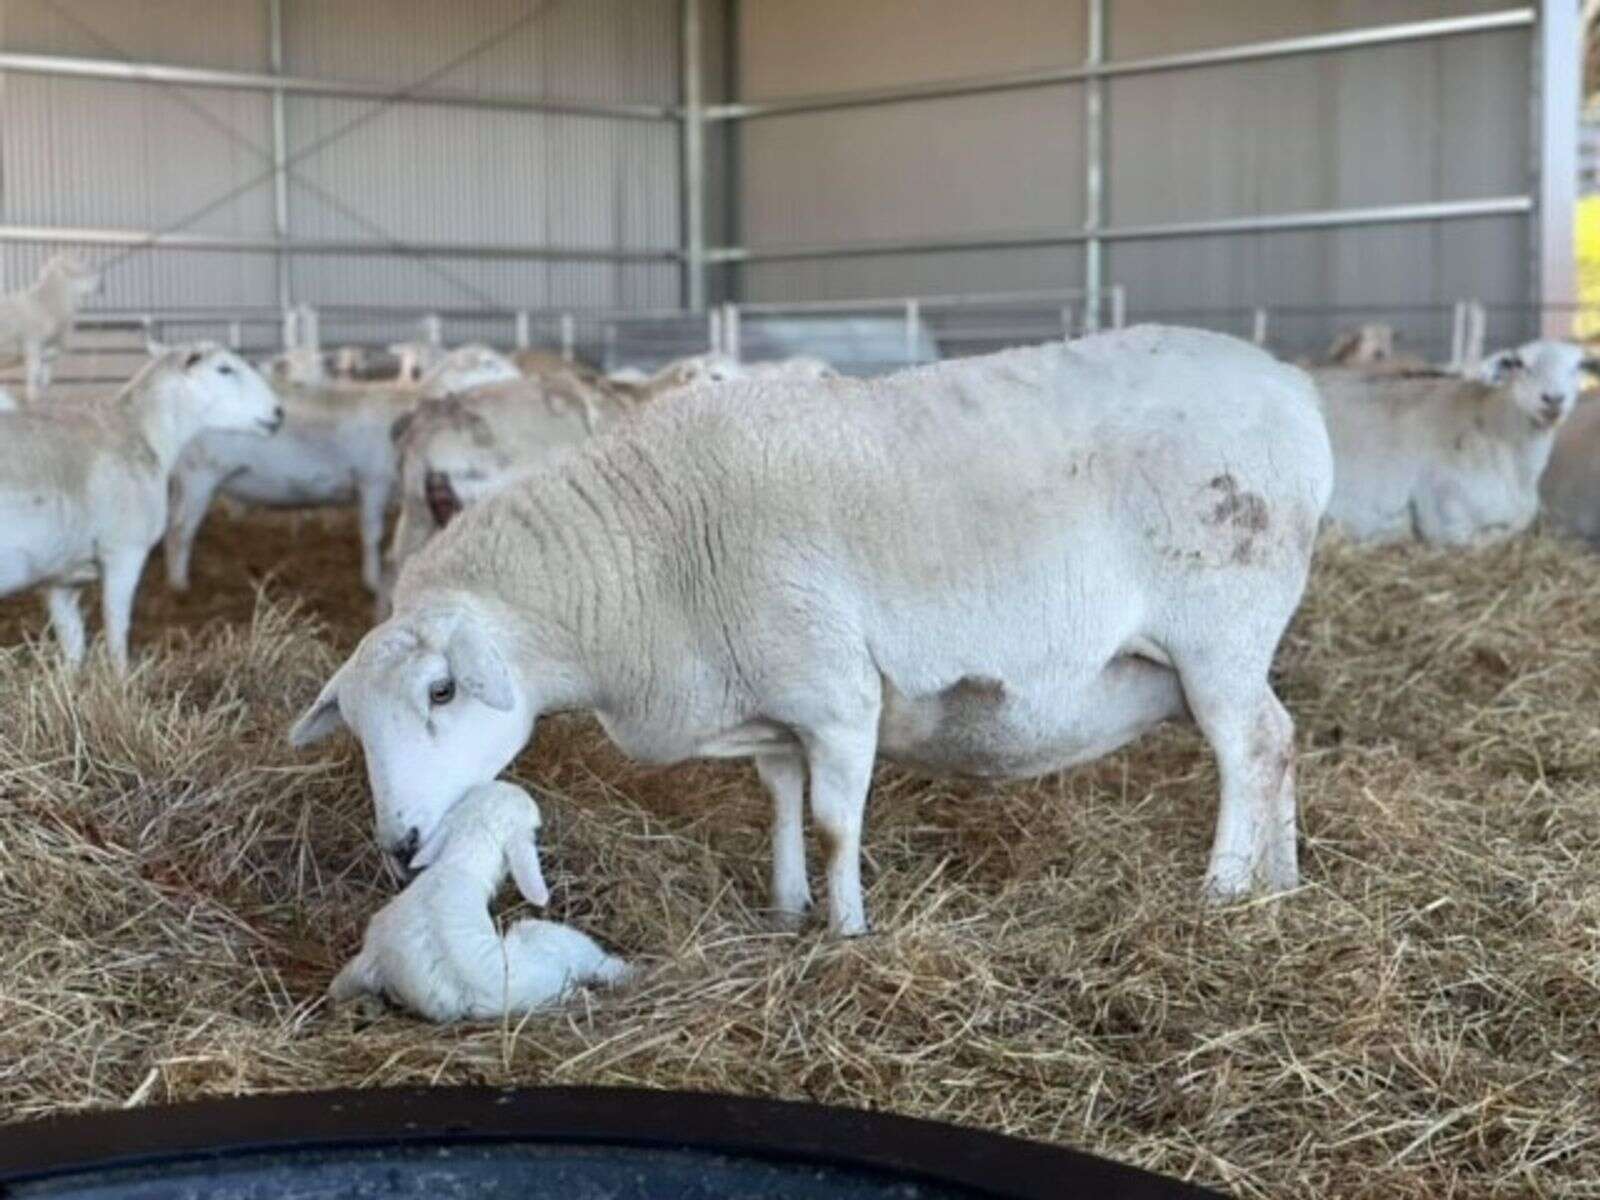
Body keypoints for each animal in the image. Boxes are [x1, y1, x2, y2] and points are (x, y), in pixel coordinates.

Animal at [0, 254, 102, 401]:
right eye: (80, 271)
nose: (101, 285)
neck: (45, 304)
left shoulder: (46, 343)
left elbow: (46, 365)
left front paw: (43, 391)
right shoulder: (32, 341)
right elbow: (35, 368)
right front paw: (33, 396)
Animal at [0, 343, 282, 671]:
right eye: (225, 369)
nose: (278, 412)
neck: (144, 432)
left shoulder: (62, 578)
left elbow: (73, 644)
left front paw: (72, 682)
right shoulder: (124, 551)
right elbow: (116, 628)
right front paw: (121, 678)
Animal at [290, 325, 1334, 936]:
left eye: (440, 690)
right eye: (357, 724)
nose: (398, 844)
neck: (645, 561)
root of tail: (1296, 393)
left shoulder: (834, 691)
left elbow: (836, 823)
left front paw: (845, 931)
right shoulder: (772, 701)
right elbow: (783, 803)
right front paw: (786, 904)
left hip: (1220, 628)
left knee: (1247, 749)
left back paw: (1224, 891)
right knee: (1282, 740)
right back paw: (1283, 884)